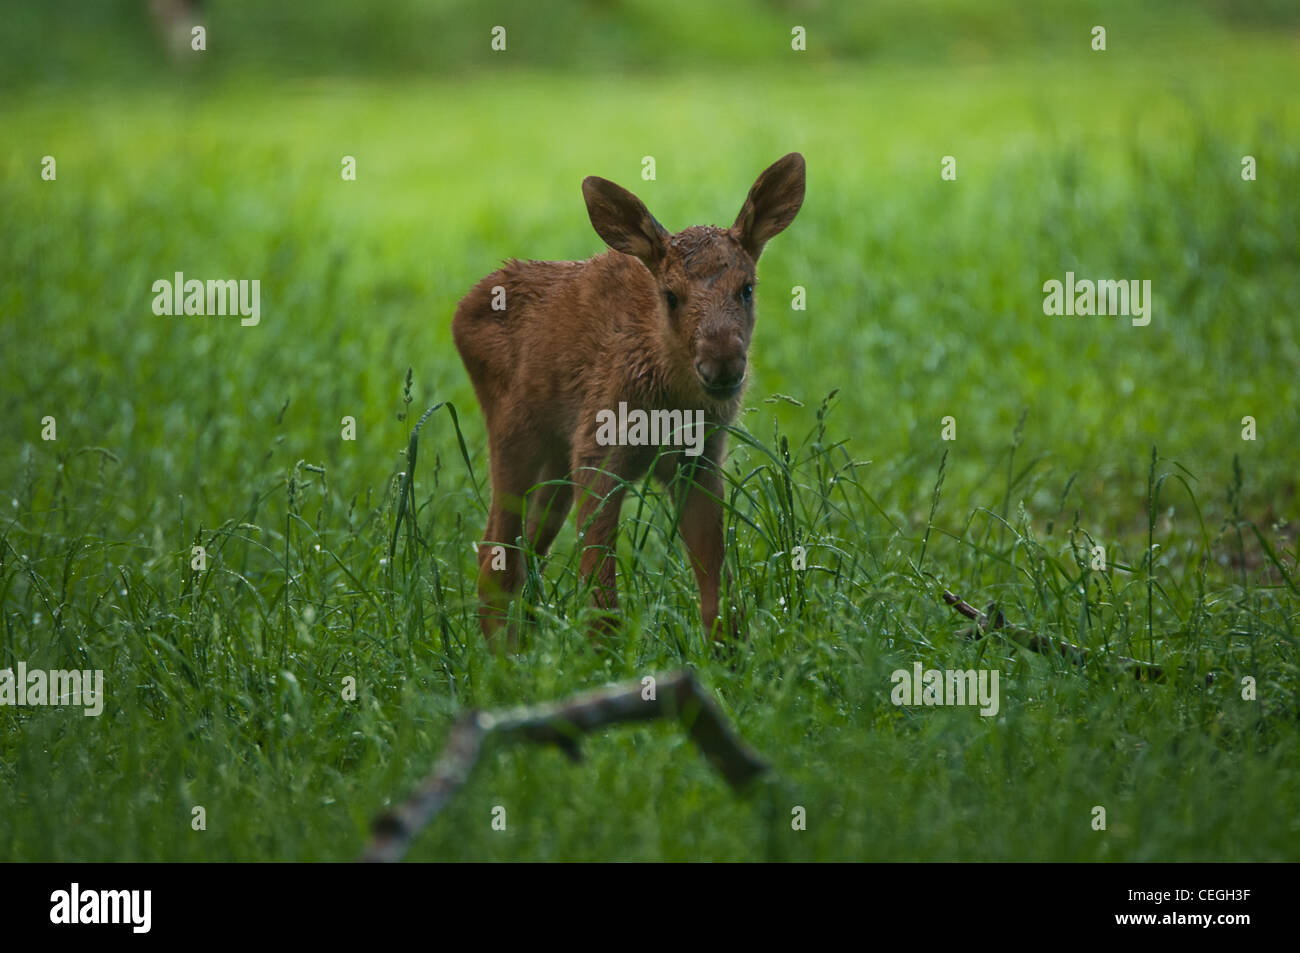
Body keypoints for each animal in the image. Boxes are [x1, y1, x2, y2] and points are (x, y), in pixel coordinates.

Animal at [452, 153, 805, 650]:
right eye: (671, 296)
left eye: (747, 288)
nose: (722, 364)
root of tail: (460, 310)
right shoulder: (599, 447)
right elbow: (600, 588)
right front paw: (604, 656)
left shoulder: (698, 460)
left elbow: (716, 583)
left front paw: (727, 653)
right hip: (513, 433)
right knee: (494, 556)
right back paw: (504, 658)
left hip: (555, 461)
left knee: (526, 553)